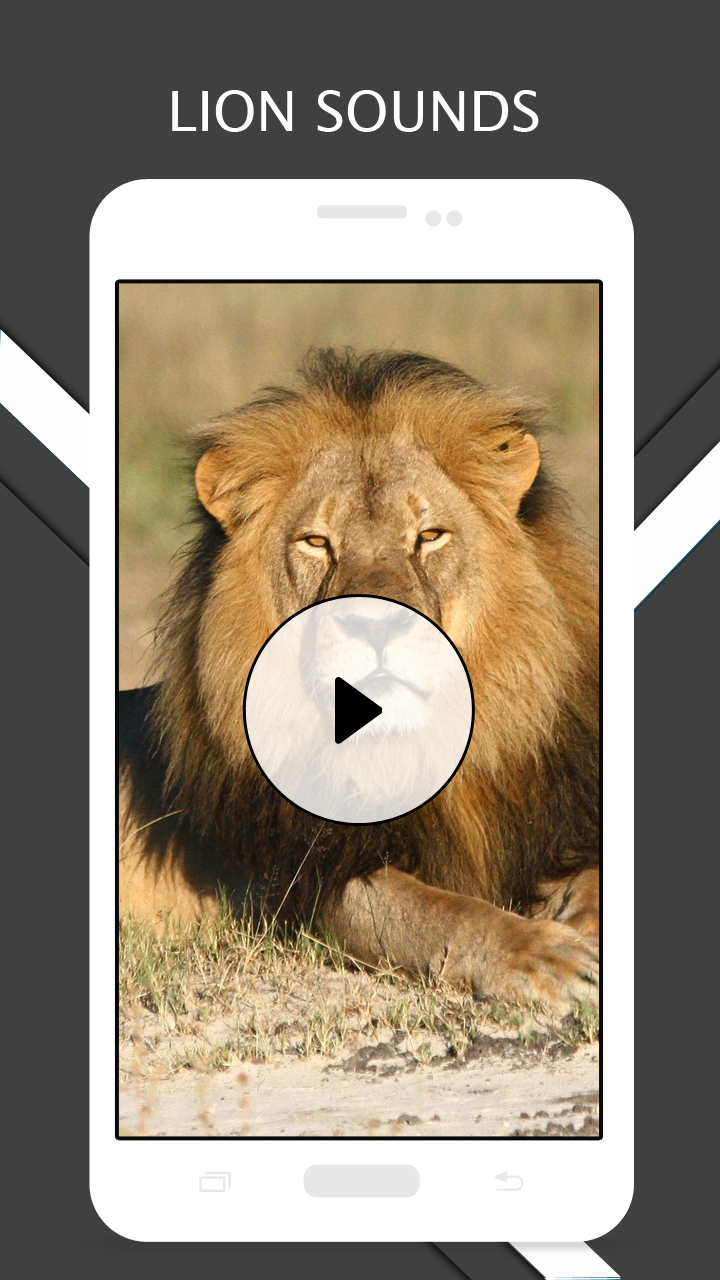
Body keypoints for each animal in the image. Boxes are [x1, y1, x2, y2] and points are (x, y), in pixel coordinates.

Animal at [120, 348, 599, 1014]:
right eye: (317, 543)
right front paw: (544, 955)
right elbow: (441, 912)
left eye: (429, 536)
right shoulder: (311, 882)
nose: (376, 625)